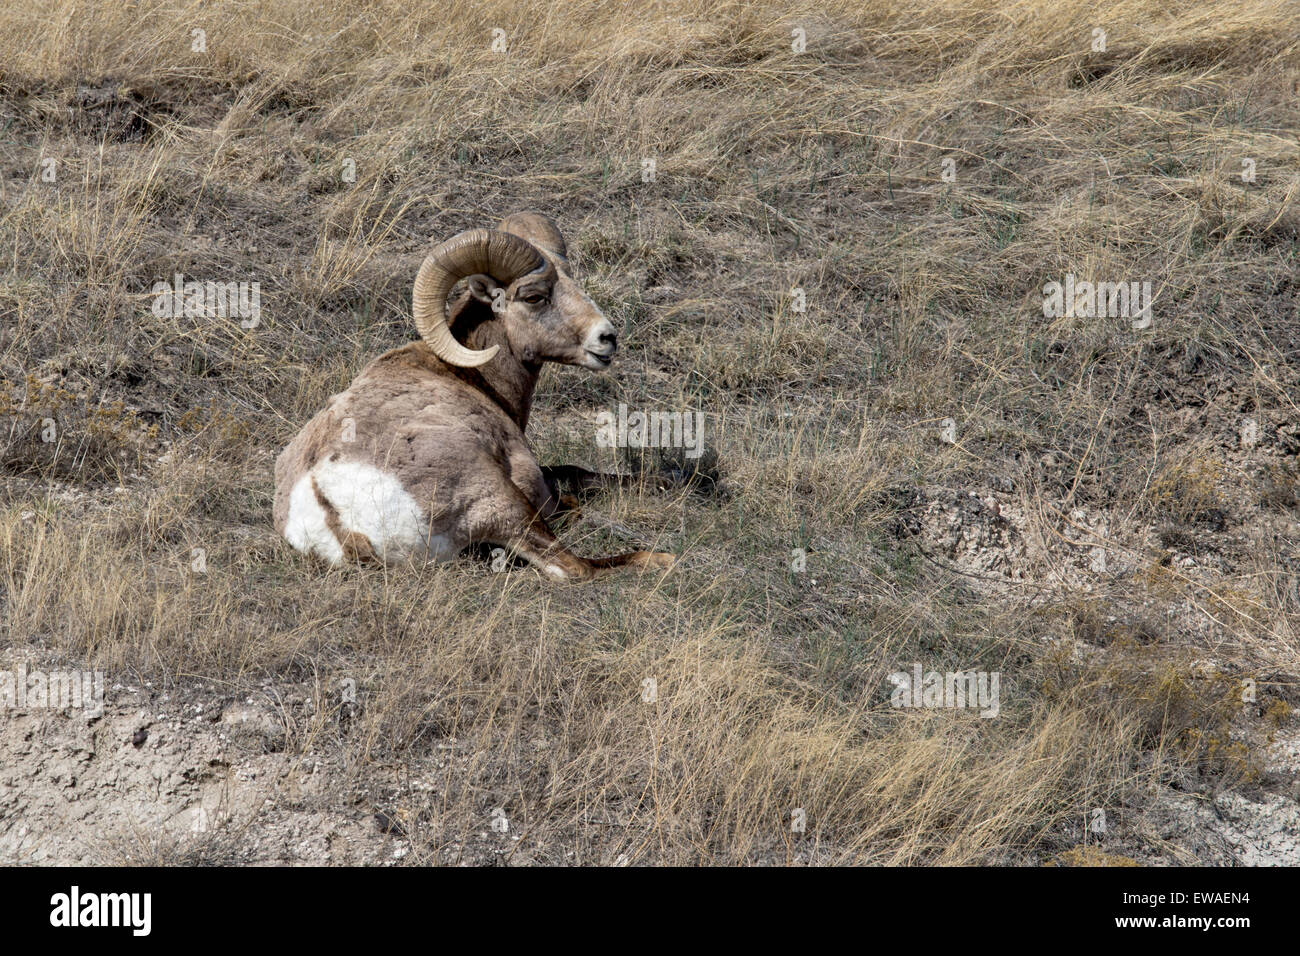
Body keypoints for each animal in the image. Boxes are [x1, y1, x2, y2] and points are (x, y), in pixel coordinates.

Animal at [272, 212, 675, 581]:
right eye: (534, 296)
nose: (606, 338)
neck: (468, 375)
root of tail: (331, 511)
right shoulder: (530, 483)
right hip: (502, 501)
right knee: (573, 569)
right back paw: (660, 560)